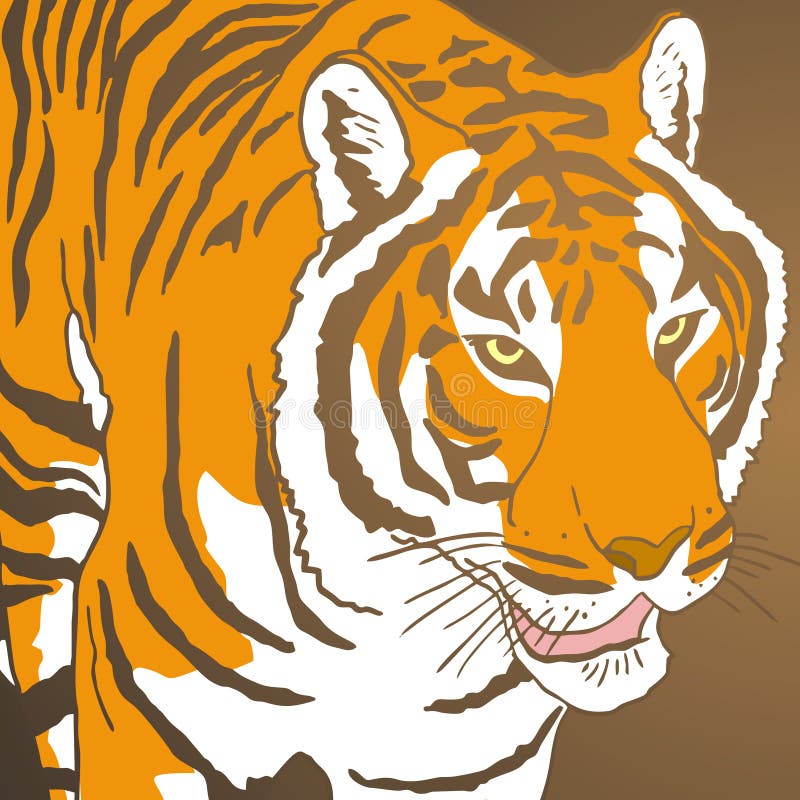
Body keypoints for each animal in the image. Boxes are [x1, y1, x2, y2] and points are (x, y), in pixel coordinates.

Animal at [0, 0, 786, 798]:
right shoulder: (147, 713)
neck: (387, 623)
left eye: (678, 328)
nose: (651, 554)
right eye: (504, 353)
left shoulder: (455, 767)